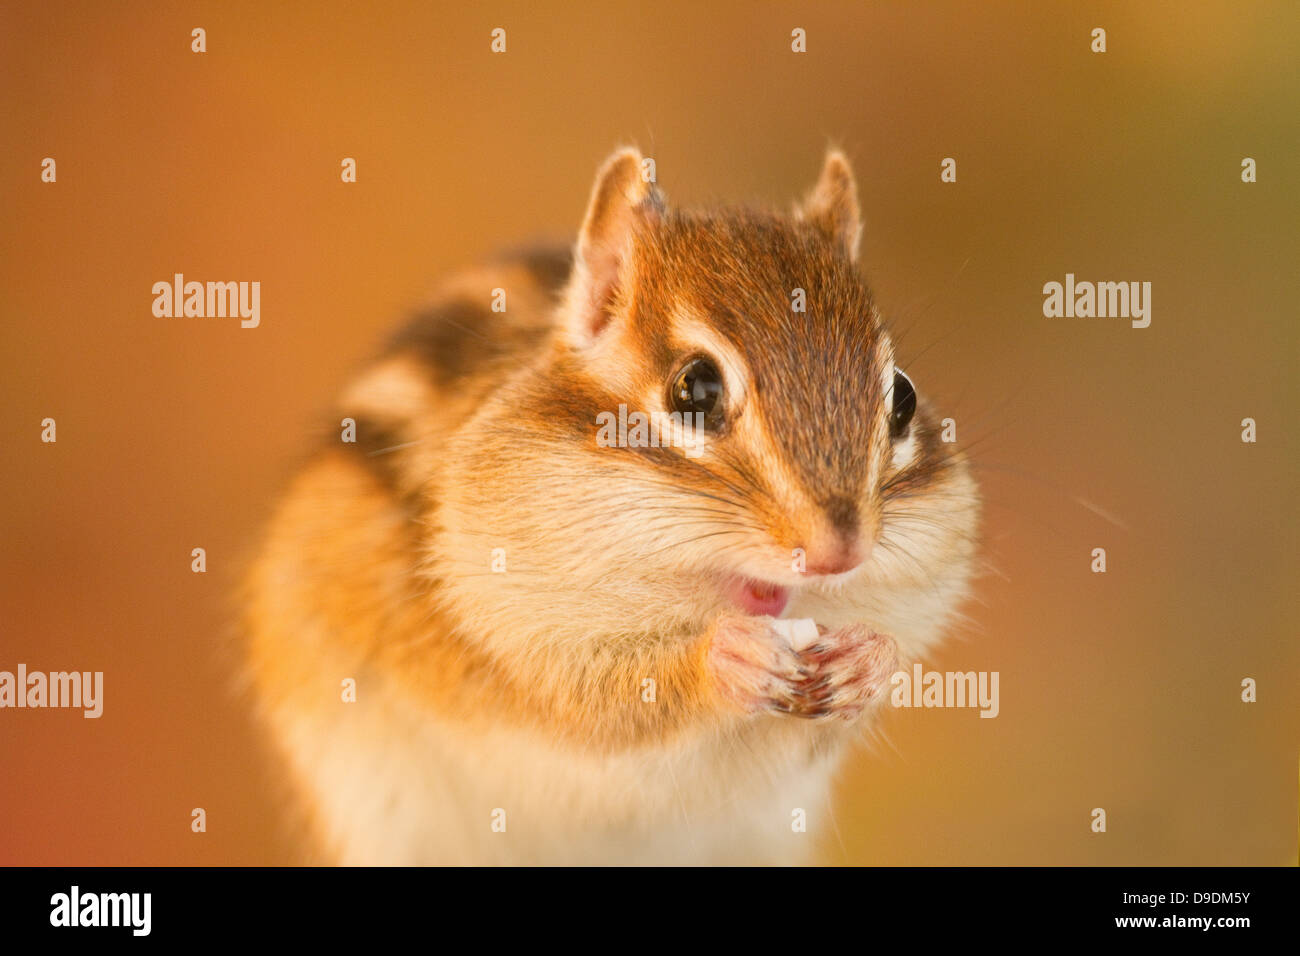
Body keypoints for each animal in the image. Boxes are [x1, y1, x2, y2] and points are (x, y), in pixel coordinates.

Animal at [242, 147, 980, 865]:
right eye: (695, 390)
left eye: (904, 397)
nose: (839, 552)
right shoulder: (513, 635)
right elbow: (597, 703)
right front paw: (726, 657)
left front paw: (868, 661)